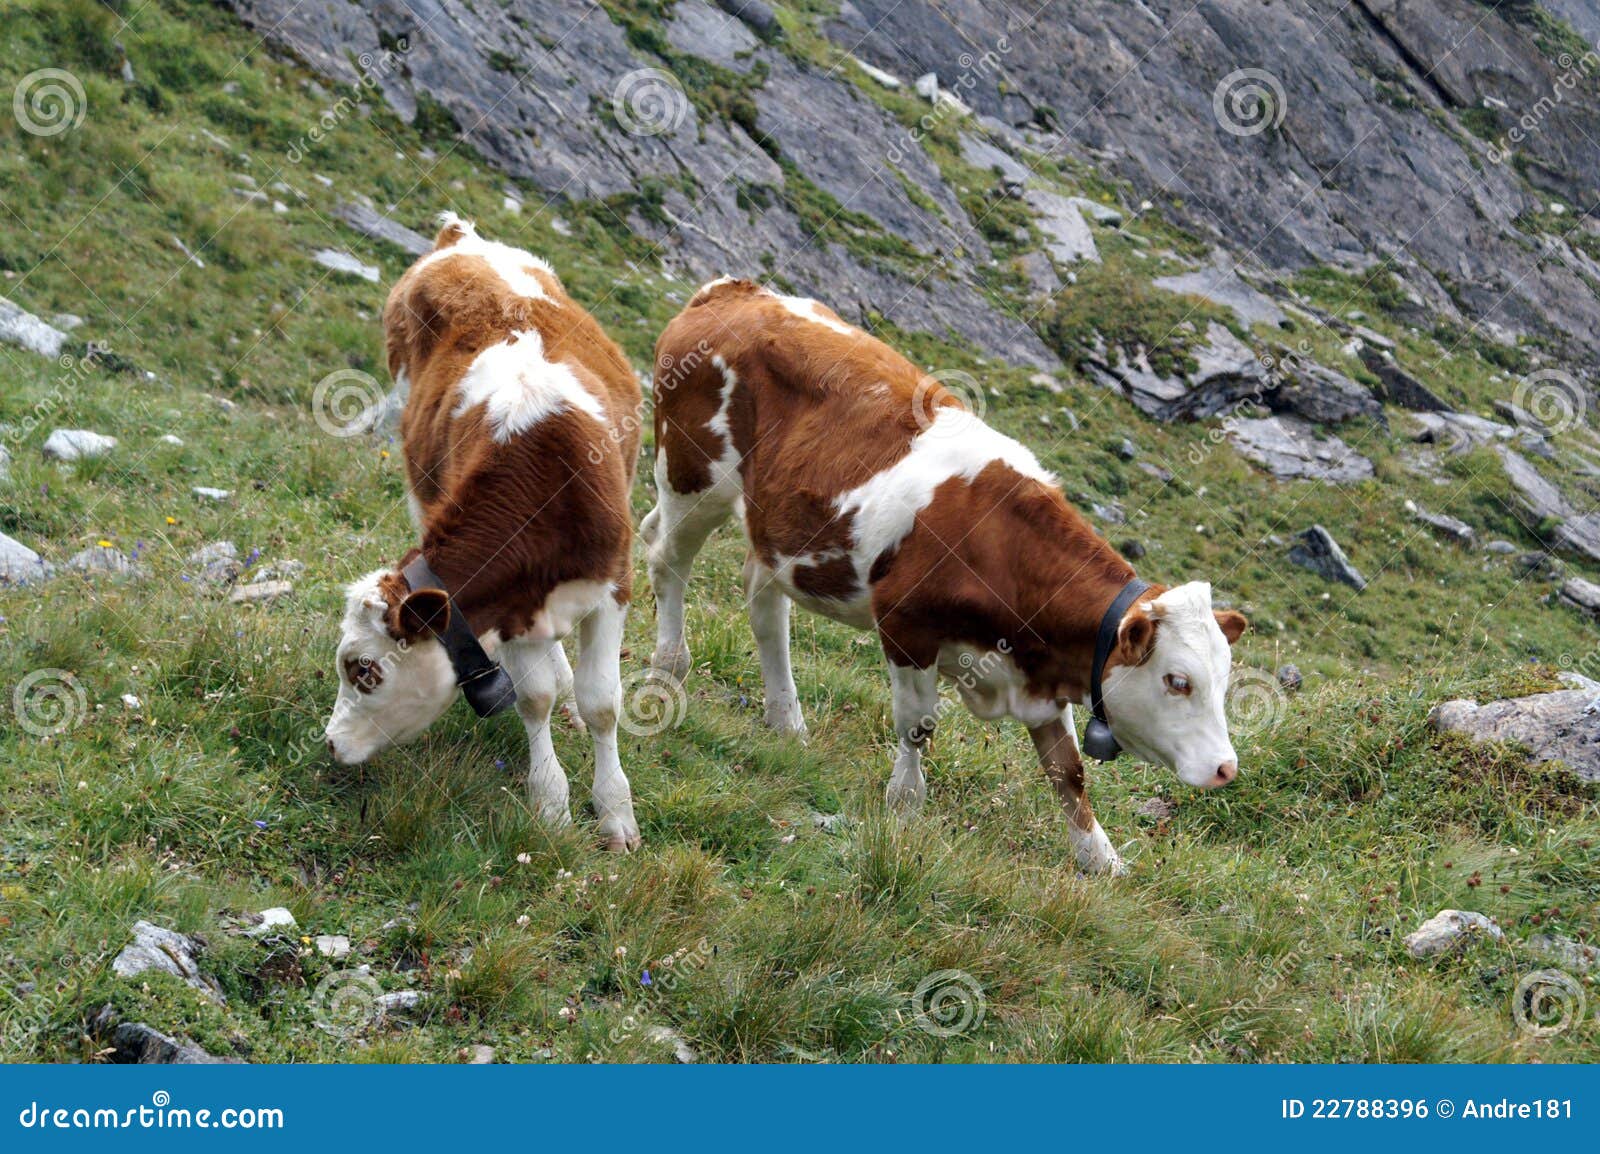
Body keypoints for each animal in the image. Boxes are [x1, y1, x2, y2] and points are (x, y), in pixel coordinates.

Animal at [323, 214, 643, 852]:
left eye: (364, 670)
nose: (330, 742)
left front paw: (615, 812)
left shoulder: (614, 584)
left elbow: (602, 703)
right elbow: (534, 696)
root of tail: (461, 239)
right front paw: (551, 802)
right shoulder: (512, 603)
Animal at [642, 278, 1248, 874]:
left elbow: (1068, 770)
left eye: (1222, 680)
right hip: (691, 477)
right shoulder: (905, 627)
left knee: (764, 604)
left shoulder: (1041, 671)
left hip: (774, 529)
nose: (1226, 768)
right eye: (1177, 681)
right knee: (666, 557)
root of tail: (734, 291)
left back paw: (785, 720)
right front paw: (905, 805)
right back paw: (670, 666)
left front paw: (1101, 858)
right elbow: (918, 725)